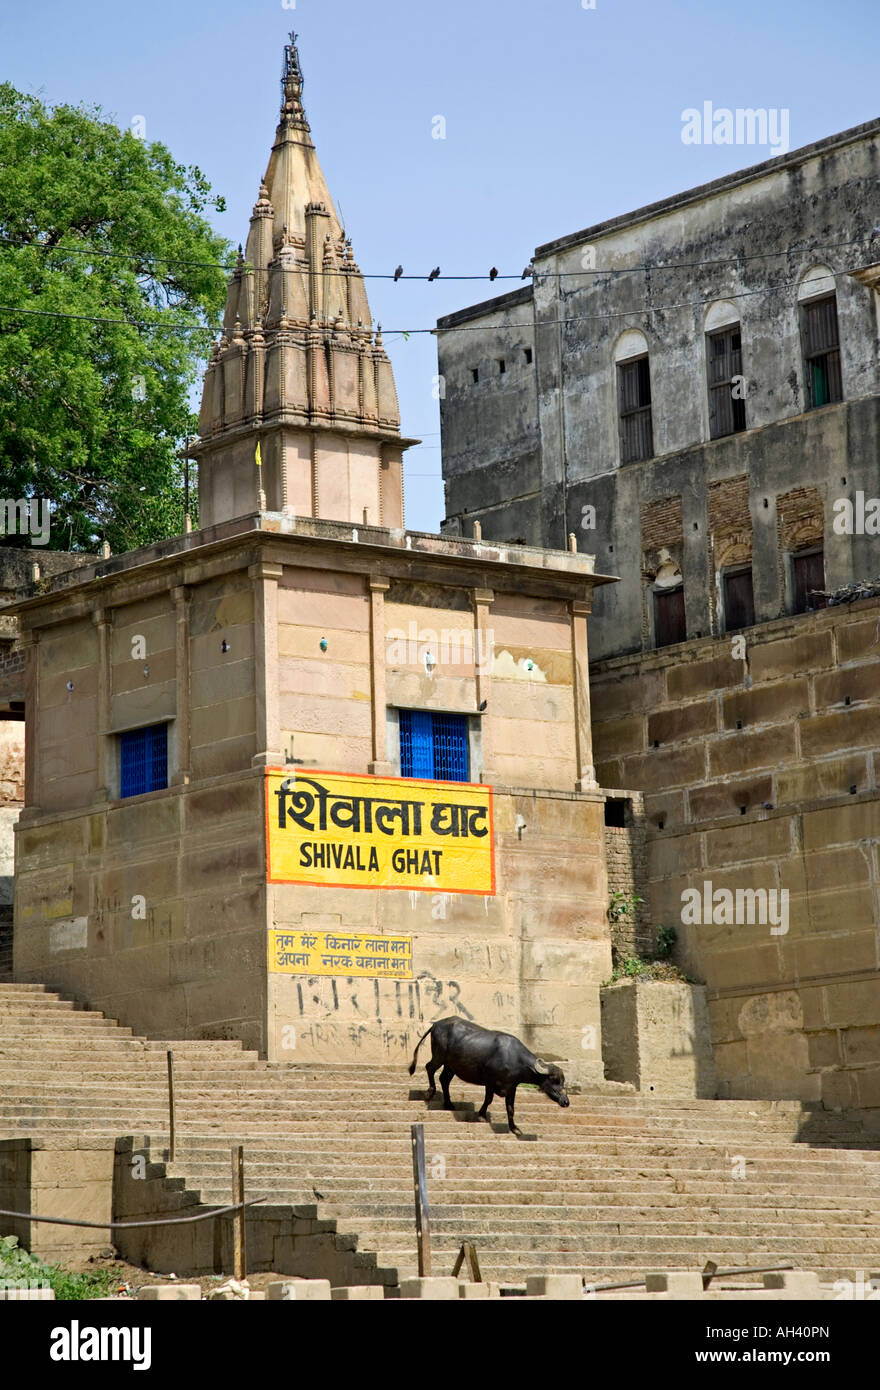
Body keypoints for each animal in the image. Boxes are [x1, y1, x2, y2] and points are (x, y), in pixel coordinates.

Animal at [408, 1016, 570, 1135]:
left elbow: (510, 1108)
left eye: (563, 1081)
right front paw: (481, 1115)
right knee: (429, 1068)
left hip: (450, 1065)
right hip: (439, 1056)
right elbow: (489, 1099)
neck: (514, 1058)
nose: (566, 1101)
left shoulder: (512, 1087)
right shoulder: (490, 1081)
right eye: (553, 1080)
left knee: (444, 1079)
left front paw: (515, 1128)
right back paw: (429, 1093)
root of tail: (436, 1024)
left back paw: (449, 1104)